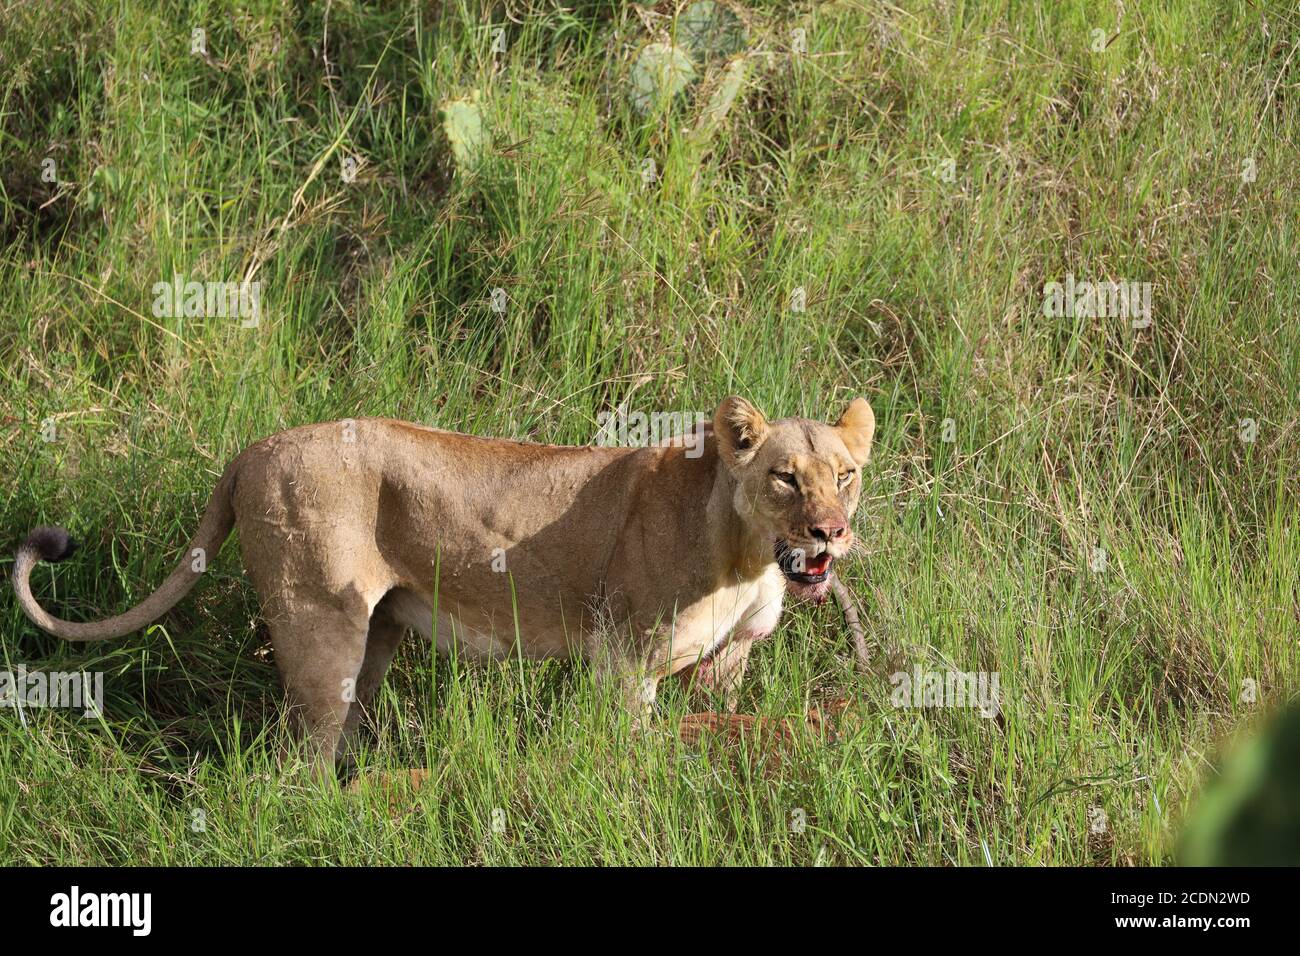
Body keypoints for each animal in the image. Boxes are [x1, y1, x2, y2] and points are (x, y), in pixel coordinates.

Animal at [12, 396, 875, 776]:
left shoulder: (728, 662)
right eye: (785, 479)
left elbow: (718, 720)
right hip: (320, 623)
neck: (746, 555)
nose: (829, 534)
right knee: (298, 760)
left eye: (845, 476)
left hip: (378, 633)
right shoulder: (624, 664)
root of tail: (252, 449)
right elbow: (629, 749)